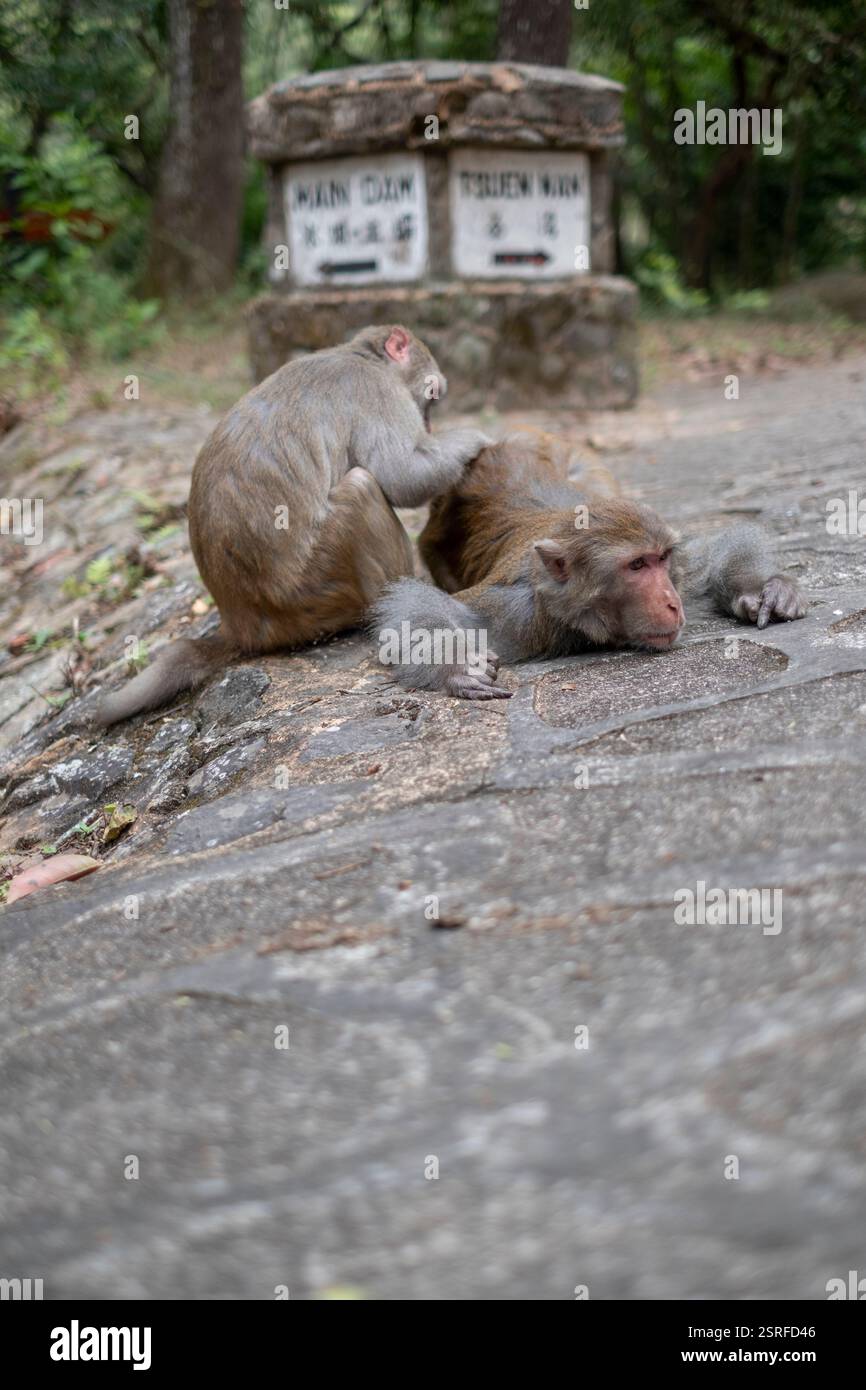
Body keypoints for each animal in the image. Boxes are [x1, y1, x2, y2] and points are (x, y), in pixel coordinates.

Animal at [97, 325, 490, 725]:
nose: (430, 424)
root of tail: (240, 626)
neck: (360, 355)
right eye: (432, 395)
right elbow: (402, 475)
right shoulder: (375, 390)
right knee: (362, 486)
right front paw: (476, 438)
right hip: (317, 588)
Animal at [371, 431, 807, 700]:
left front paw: (763, 591)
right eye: (636, 566)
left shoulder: (680, 571)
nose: (671, 602)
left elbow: (711, 553)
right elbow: (425, 605)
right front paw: (457, 664)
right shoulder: (518, 615)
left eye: (661, 559)